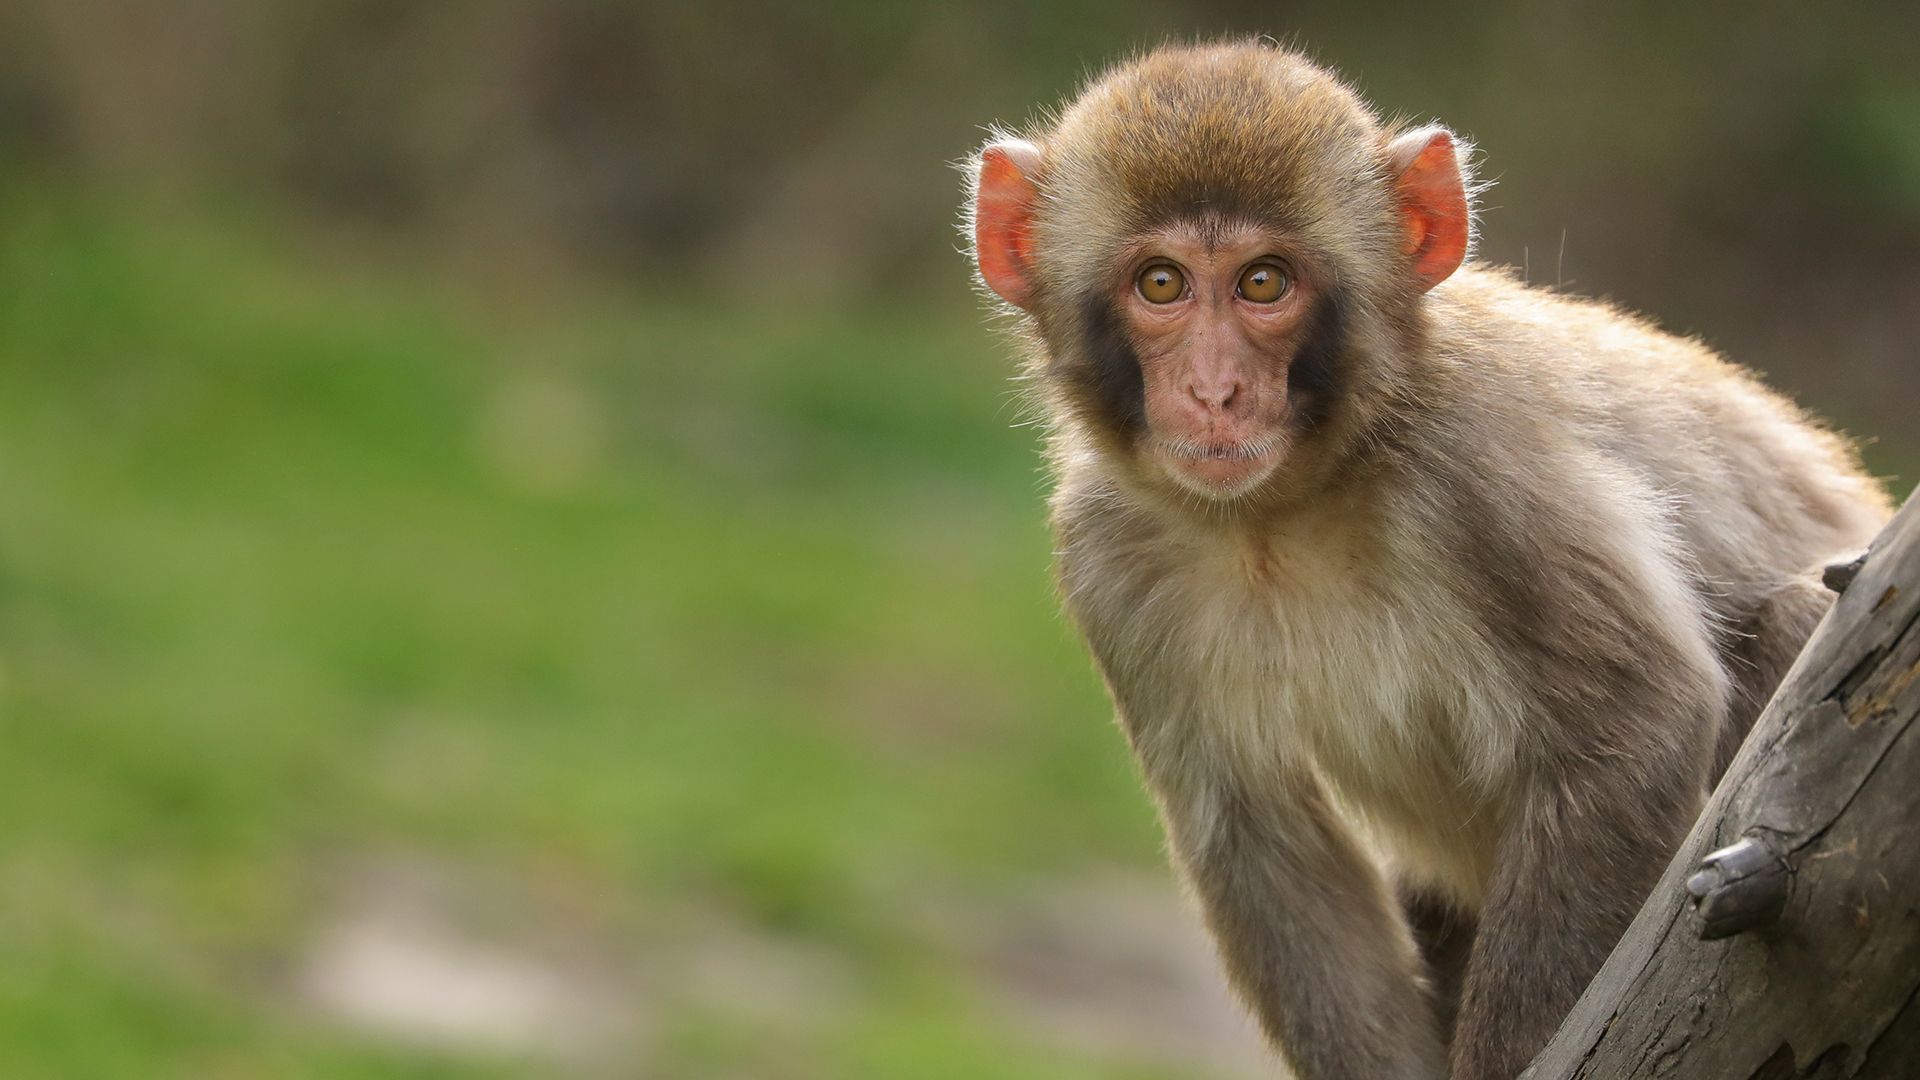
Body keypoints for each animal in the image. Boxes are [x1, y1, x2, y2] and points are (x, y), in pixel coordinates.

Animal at [962, 41, 1890, 1080]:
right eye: (1161, 285)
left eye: (1262, 283)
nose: (1213, 392)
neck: (1280, 512)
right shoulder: (1108, 557)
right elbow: (1260, 844)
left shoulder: (1482, 473)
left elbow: (1632, 726)